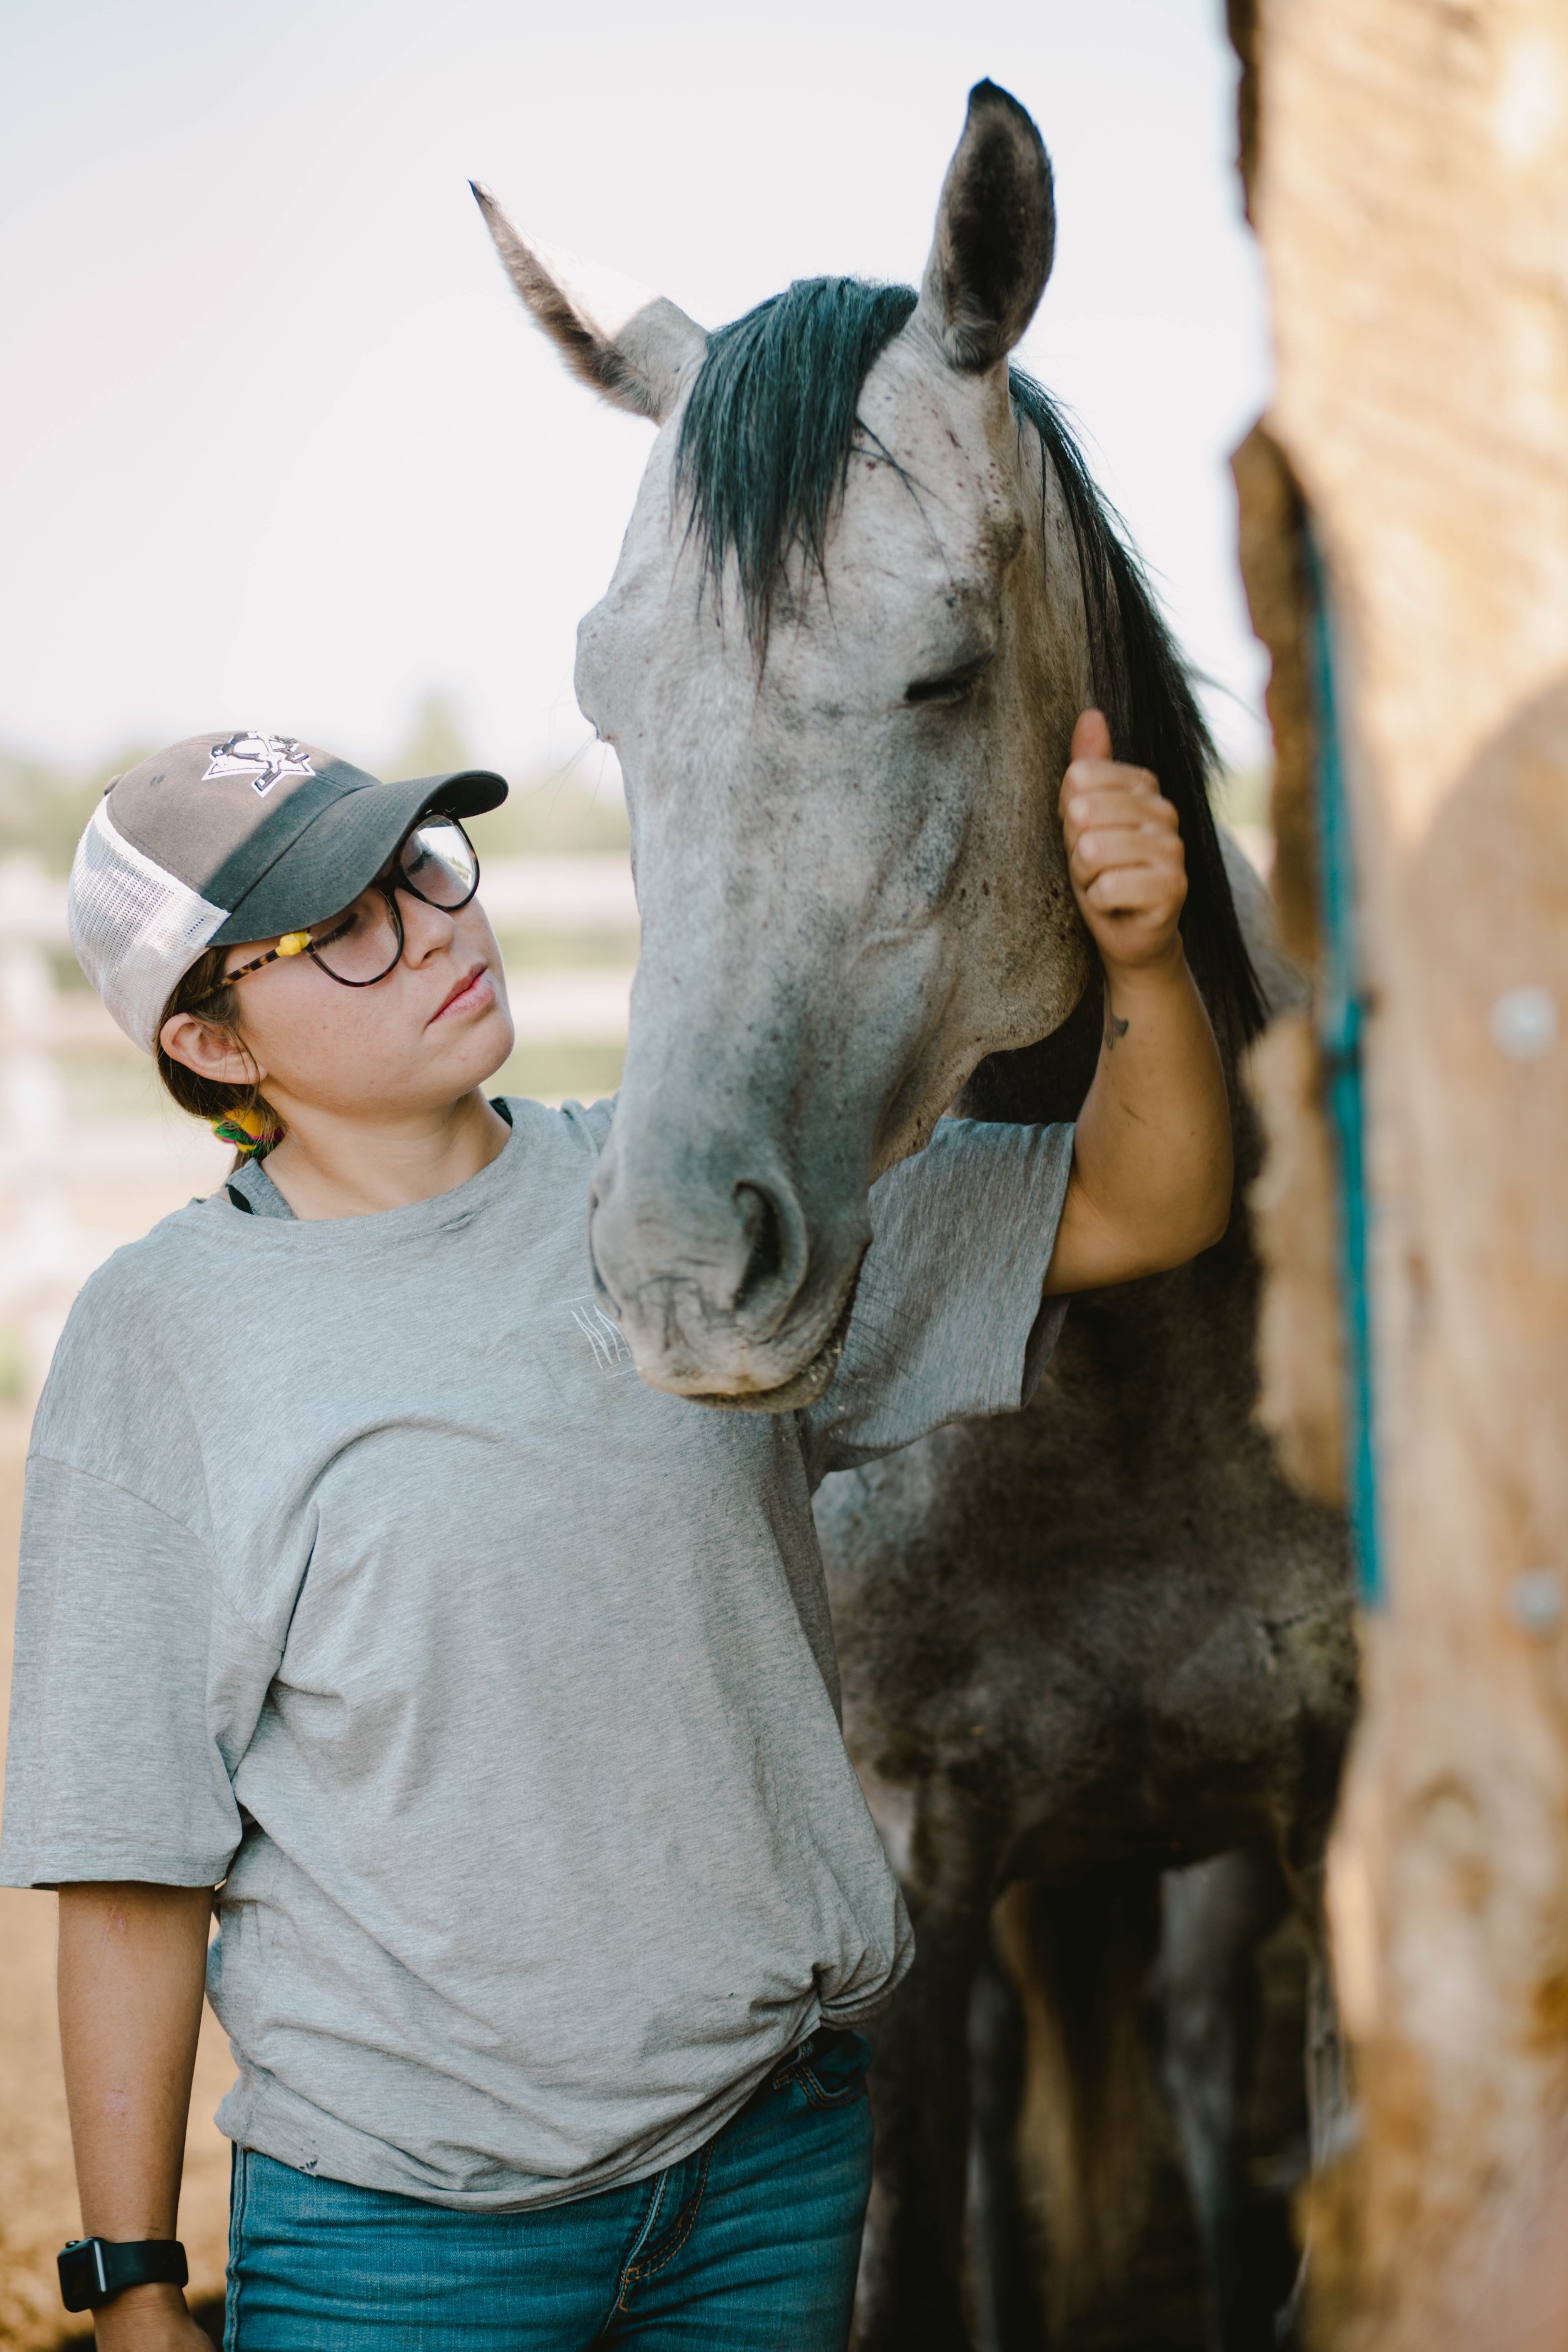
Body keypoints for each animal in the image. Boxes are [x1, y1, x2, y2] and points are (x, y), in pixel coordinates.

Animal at [474, 79, 1354, 2347]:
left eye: (944, 674)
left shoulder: (1331, 1814)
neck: (1120, 1401)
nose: (684, 1273)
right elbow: (910, 2243)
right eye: (606, 700)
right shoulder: (913, 1863)